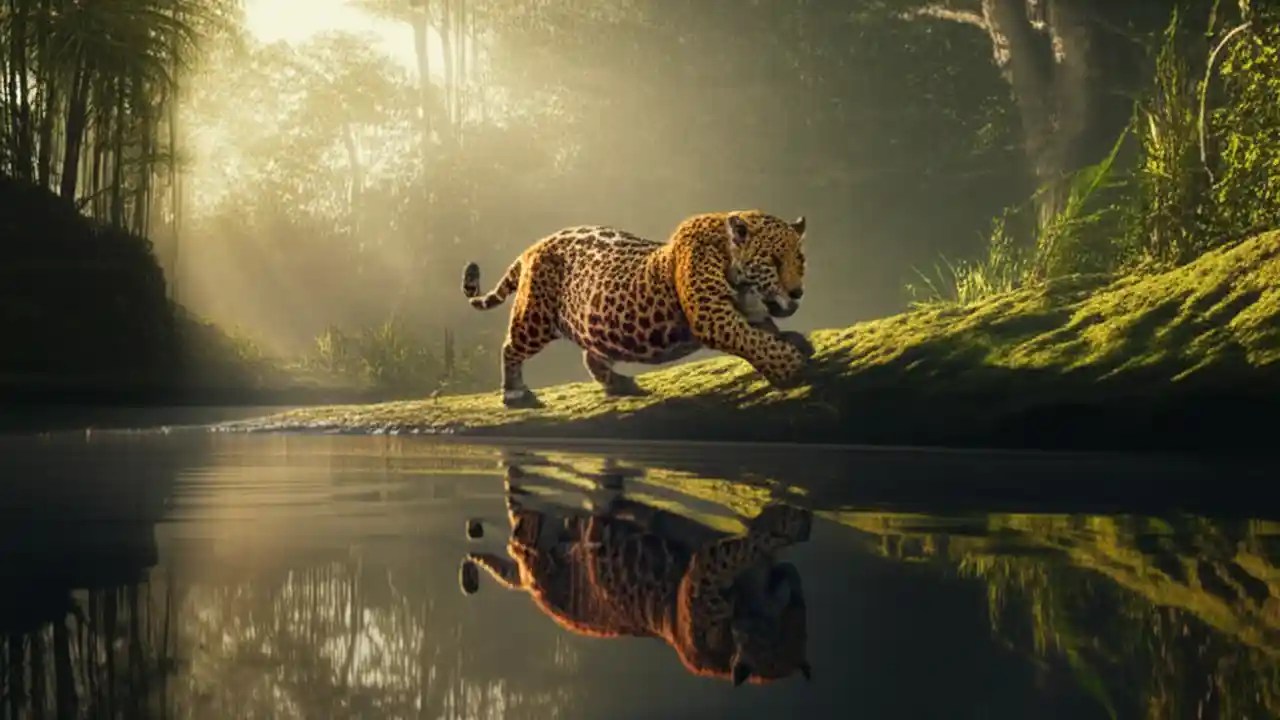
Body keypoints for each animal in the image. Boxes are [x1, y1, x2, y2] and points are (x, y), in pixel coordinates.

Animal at [459, 459, 813, 686]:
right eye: (772, 639)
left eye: (791, 633)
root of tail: (532, 588)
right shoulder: (700, 574)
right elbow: (739, 547)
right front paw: (792, 522)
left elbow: (784, 568)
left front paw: (786, 570)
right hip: (535, 532)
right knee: (519, 511)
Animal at [461, 210, 814, 408]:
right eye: (773, 261)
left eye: (800, 259)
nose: (798, 292)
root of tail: (533, 247)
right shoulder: (711, 315)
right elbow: (753, 341)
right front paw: (790, 368)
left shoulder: (750, 312)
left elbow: (765, 331)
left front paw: (795, 341)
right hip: (535, 317)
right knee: (510, 348)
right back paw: (515, 394)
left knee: (591, 355)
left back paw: (620, 384)